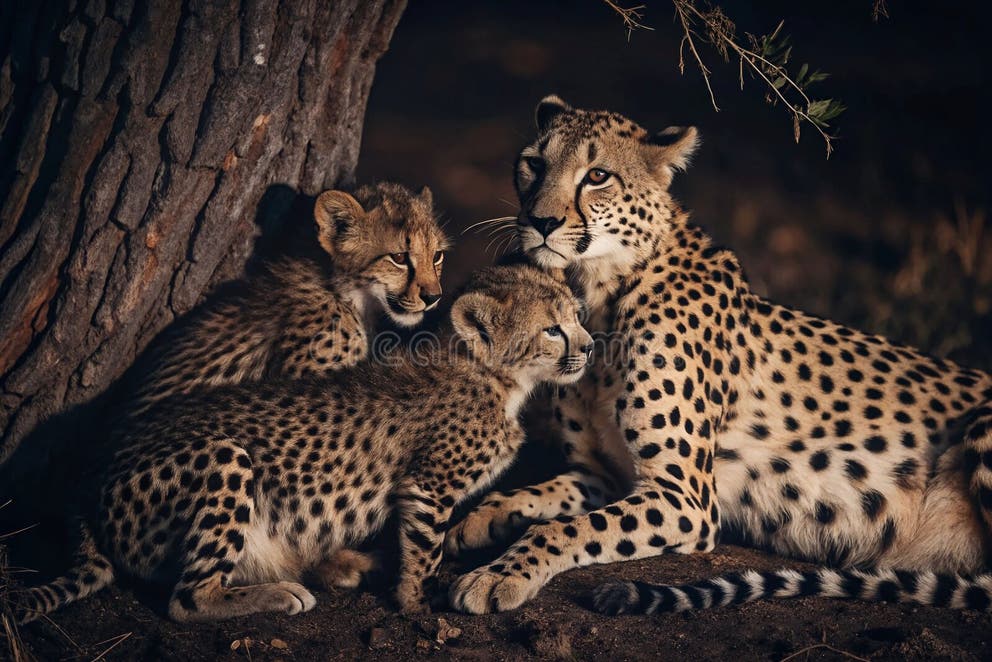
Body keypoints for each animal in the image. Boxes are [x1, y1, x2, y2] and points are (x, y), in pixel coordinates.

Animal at [13, 263, 593, 623]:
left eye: (577, 315)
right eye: (552, 329)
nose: (588, 348)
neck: (493, 375)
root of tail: (94, 482)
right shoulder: (429, 487)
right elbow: (425, 551)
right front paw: (416, 604)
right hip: (226, 459)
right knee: (187, 598)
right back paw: (279, 593)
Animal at [446, 95, 992, 615]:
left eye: (597, 176)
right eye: (534, 164)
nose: (540, 221)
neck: (602, 289)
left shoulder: (685, 500)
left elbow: (563, 528)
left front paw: (498, 576)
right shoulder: (601, 476)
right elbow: (539, 493)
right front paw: (477, 518)